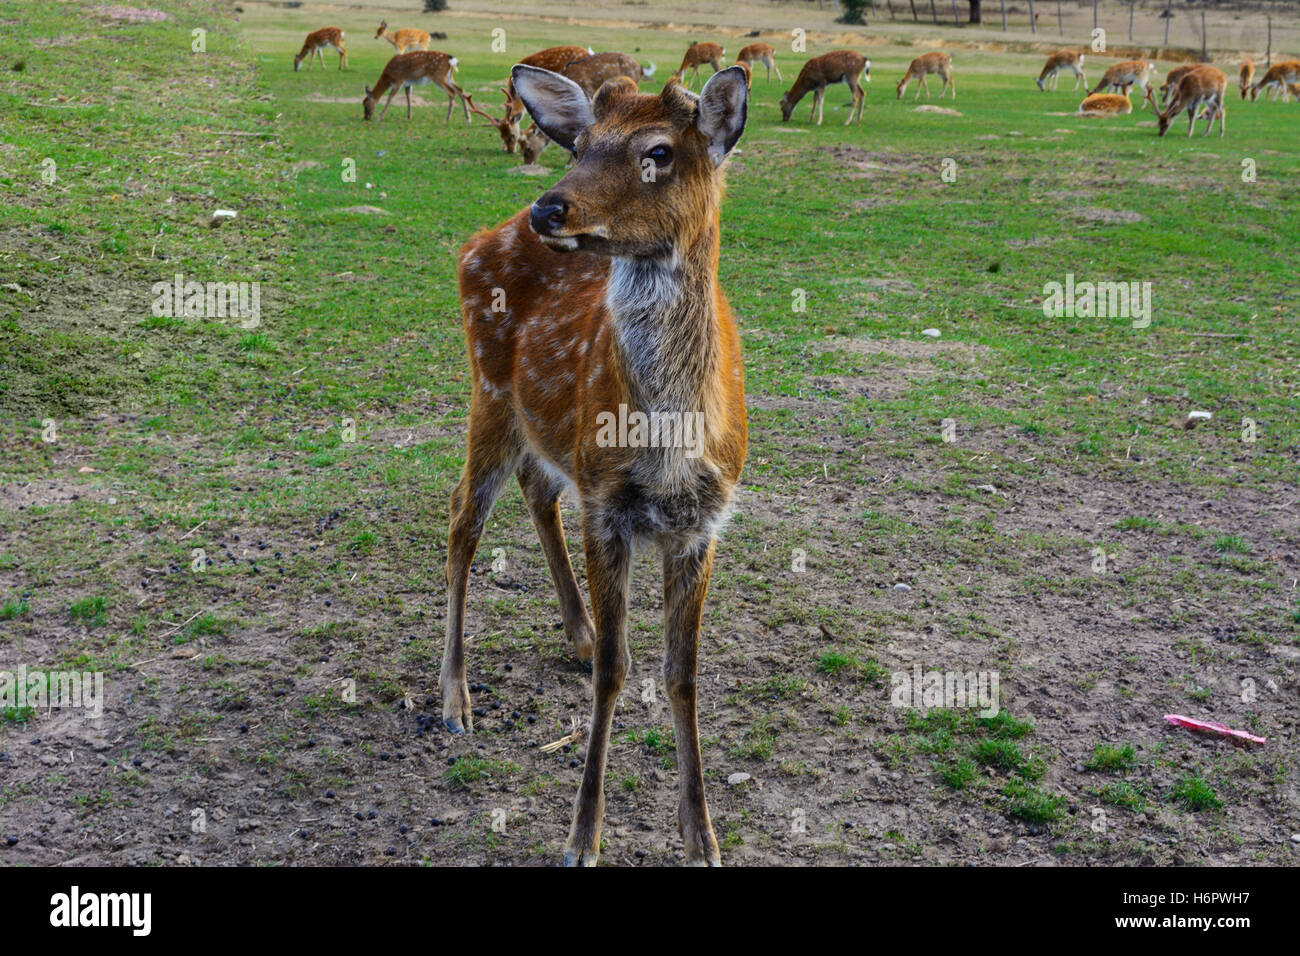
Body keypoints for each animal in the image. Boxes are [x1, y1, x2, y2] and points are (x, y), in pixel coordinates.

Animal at [446, 64, 751, 867]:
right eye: (581, 144)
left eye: (659, 152)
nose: (549, 207)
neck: (669, 443)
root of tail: (479, 239)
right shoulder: (609, 503)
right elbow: (618, 672)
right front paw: (583, 837)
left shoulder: (704, 519)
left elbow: (682, 675)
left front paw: (703, 836)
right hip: (490, 394)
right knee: (461, 516)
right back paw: (454, 697)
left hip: (542, 430)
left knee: (535, 487)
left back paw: (576, 634)